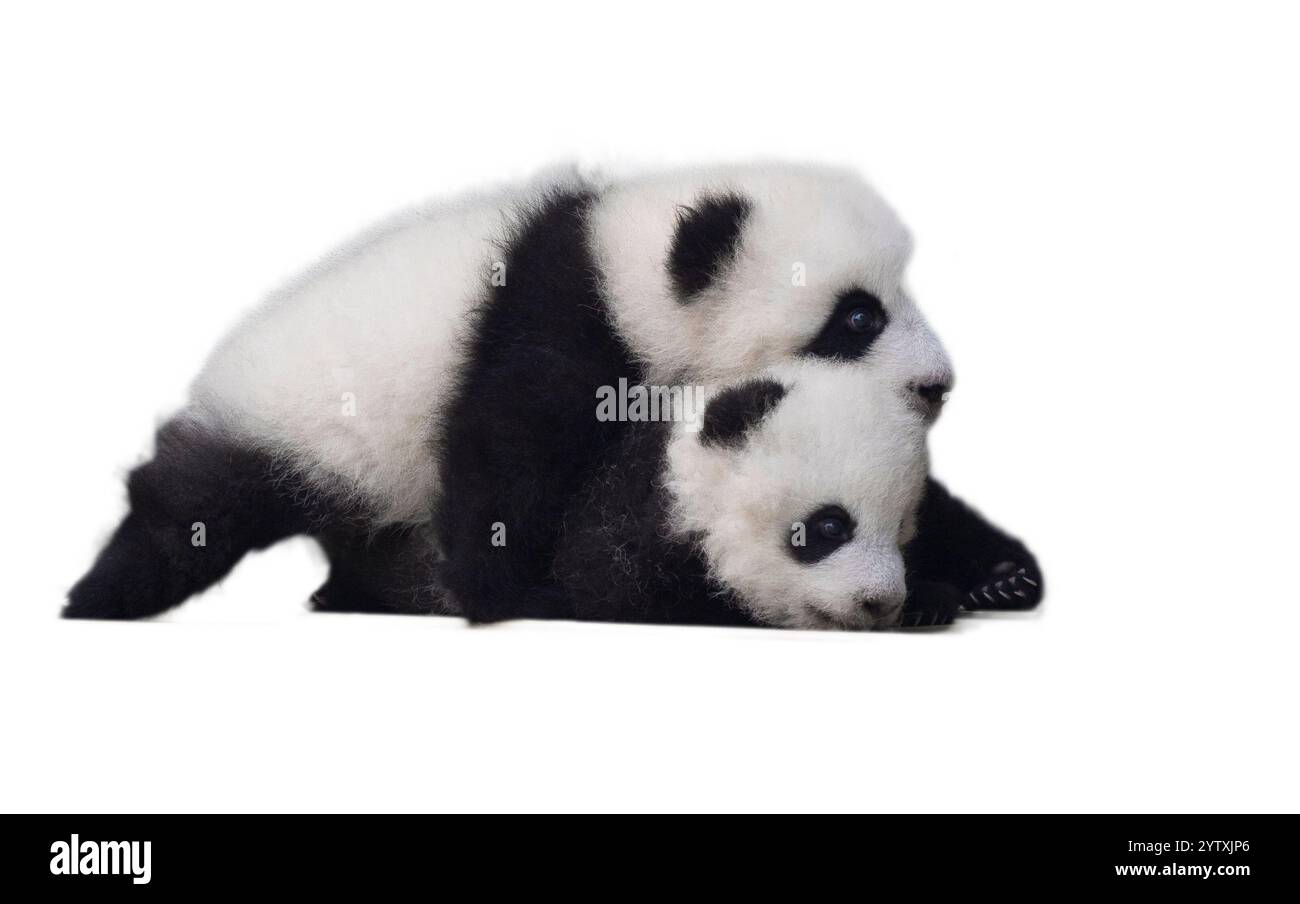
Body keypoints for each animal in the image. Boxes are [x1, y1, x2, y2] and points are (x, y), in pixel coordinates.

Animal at [65, 162, 1041, 621]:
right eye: (856, 317)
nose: (937, 386)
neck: (624, 260)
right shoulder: (554, 325)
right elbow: (507, 457)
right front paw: (513, 597)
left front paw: (995, 578)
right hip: (286, 424)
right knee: (193, 503)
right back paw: (101, 593)